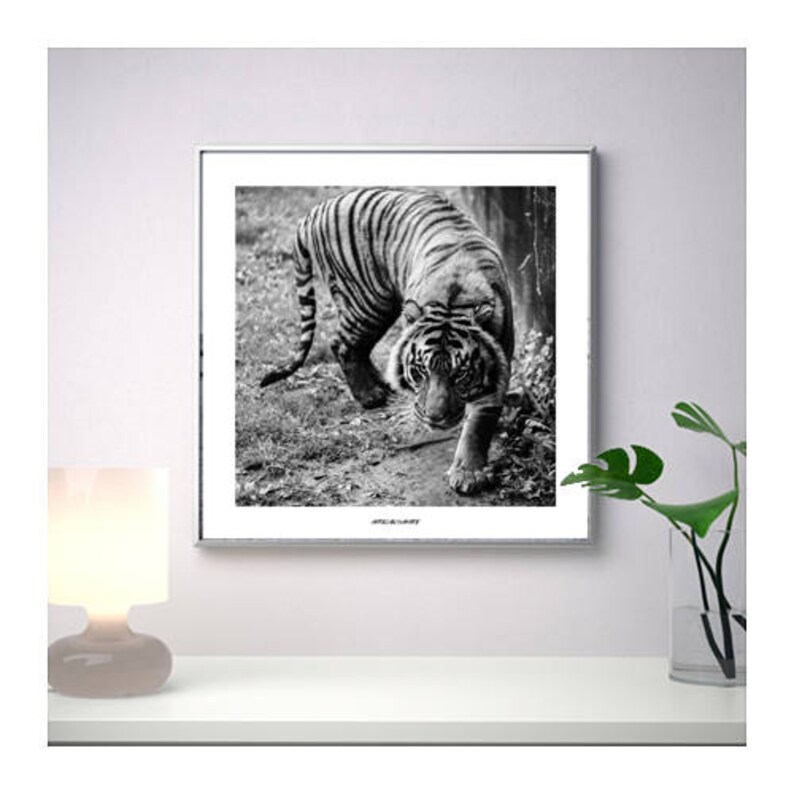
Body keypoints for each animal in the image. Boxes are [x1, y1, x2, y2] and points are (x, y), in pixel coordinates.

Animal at [259, 188, 514, 494]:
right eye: (422, 370)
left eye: (460, 374)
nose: (435, 418)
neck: (456, 297)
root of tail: (315, 211)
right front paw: (469, 474)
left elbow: (480, 422)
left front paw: (468, 473)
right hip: (368, 302)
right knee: (342, 343)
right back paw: (369, 395)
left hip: (380, 306)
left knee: (356, 346)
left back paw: (381, 386)